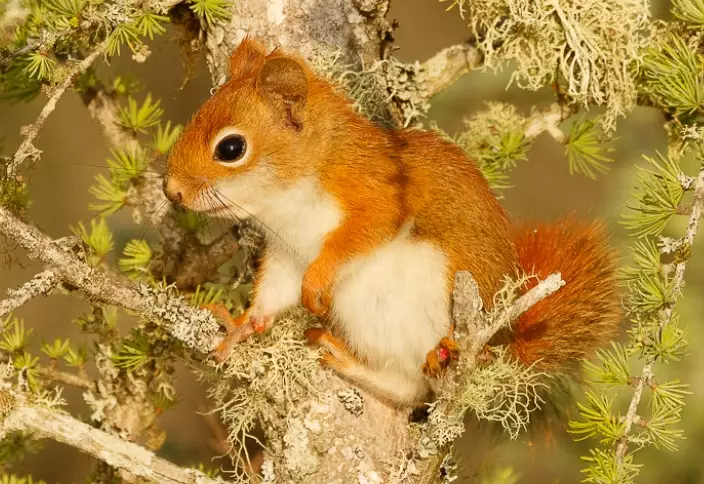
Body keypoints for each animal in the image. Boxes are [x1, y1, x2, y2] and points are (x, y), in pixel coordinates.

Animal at [163, 37, 622, 408]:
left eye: (231, 148)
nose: (172, 191)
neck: (288, 201)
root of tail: (507, 344)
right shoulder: (286, 254)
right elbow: (273, 295)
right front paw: (241, 326)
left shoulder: (376, 195)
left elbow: (359, 235)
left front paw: (317, 282)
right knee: (407, 387)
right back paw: (341, 355)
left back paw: (449, 349)